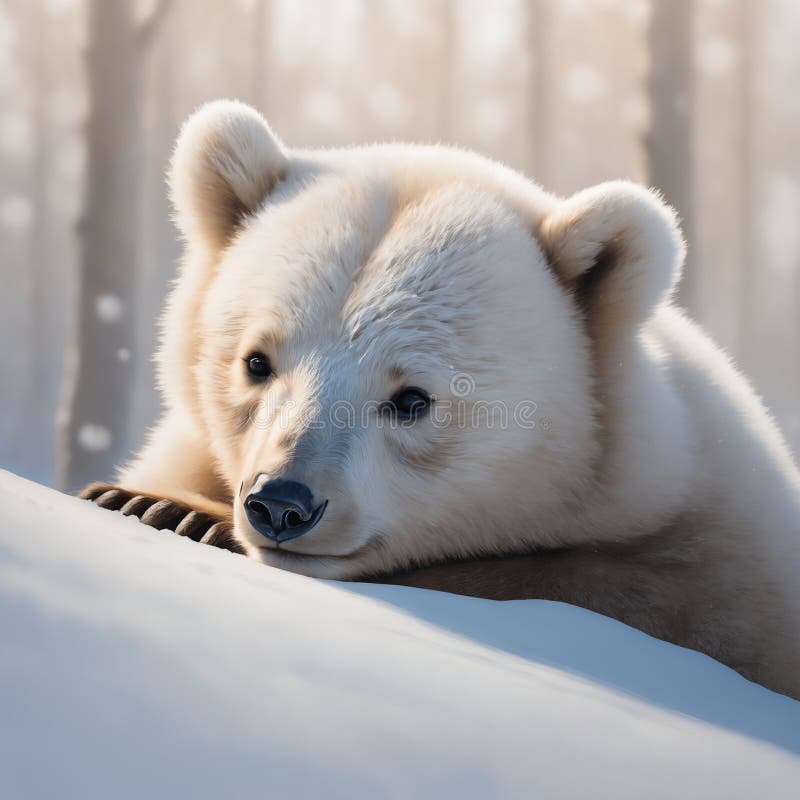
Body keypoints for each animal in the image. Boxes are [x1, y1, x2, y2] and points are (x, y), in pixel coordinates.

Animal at [81, 100, 800, 699]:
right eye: (257, 361)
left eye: (411, 399)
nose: (281, 505)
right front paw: (148, 501)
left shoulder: (715, 569)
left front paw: (184, 515)